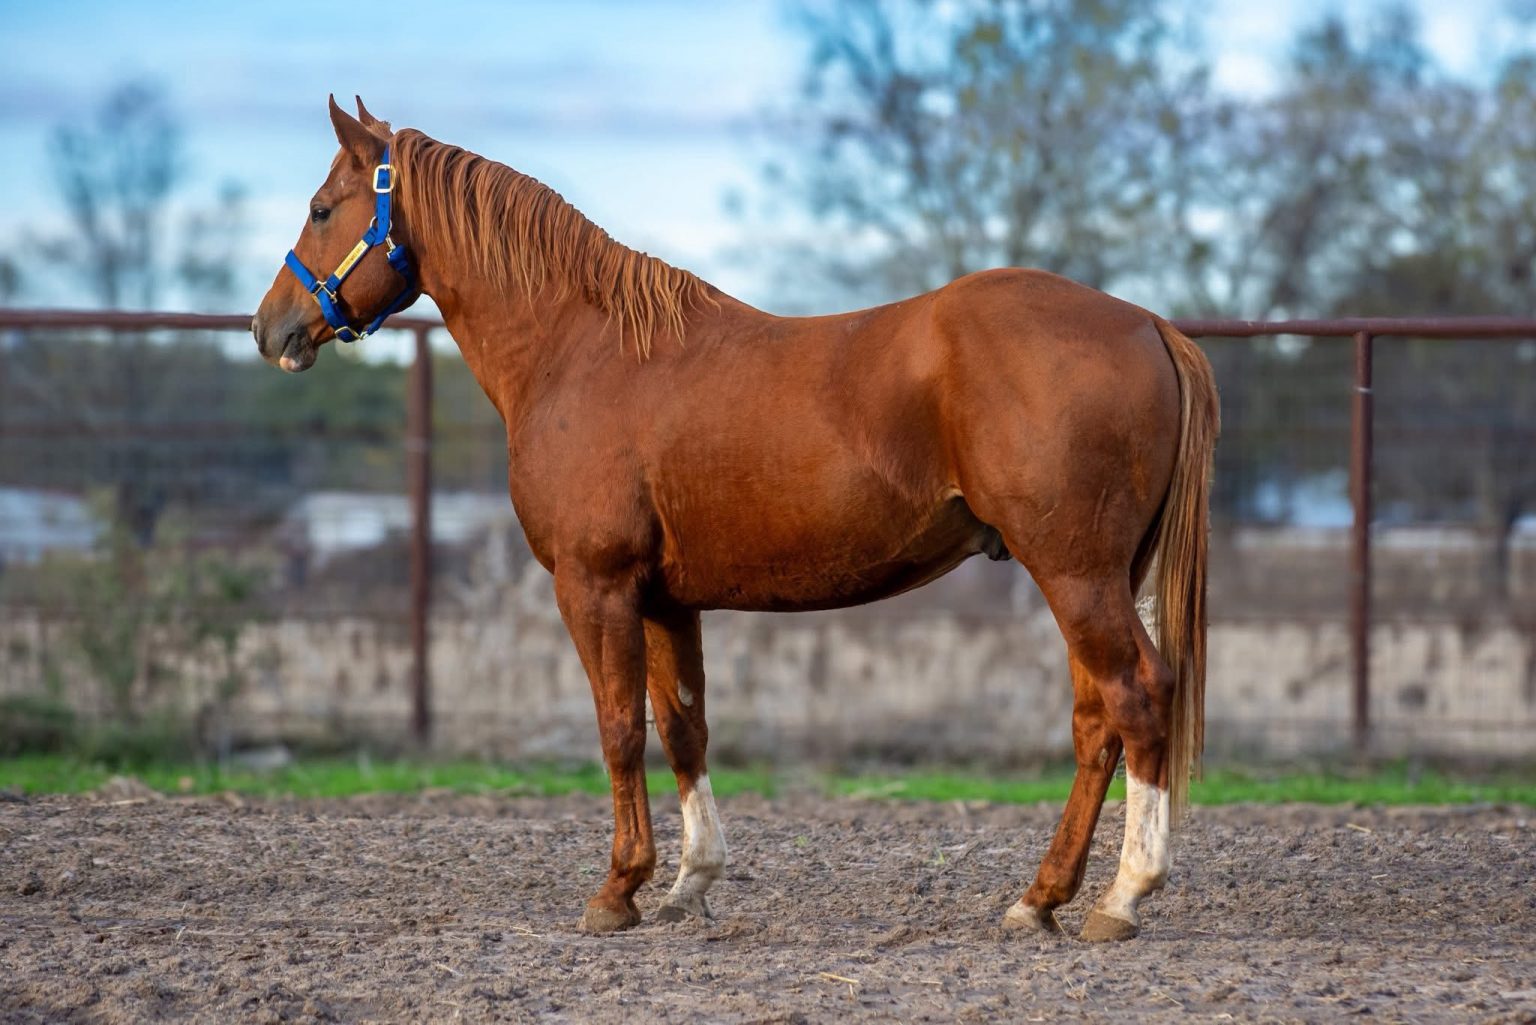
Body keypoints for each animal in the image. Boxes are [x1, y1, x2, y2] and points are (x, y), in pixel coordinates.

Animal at [253, 97, 1219, 942]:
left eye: (323, 208)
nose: (271, 328)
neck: (581, 351)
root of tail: (1147, 323)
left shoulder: (595, 588)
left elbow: (618, 728)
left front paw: (618, 890)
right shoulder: (665, 599)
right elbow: (684, 726)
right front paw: (691, 882)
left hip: (1074, 573)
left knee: (1138, 698)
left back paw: (1124, 896)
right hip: (1095, 576)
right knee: (1096, 721)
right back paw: (1039, 899)